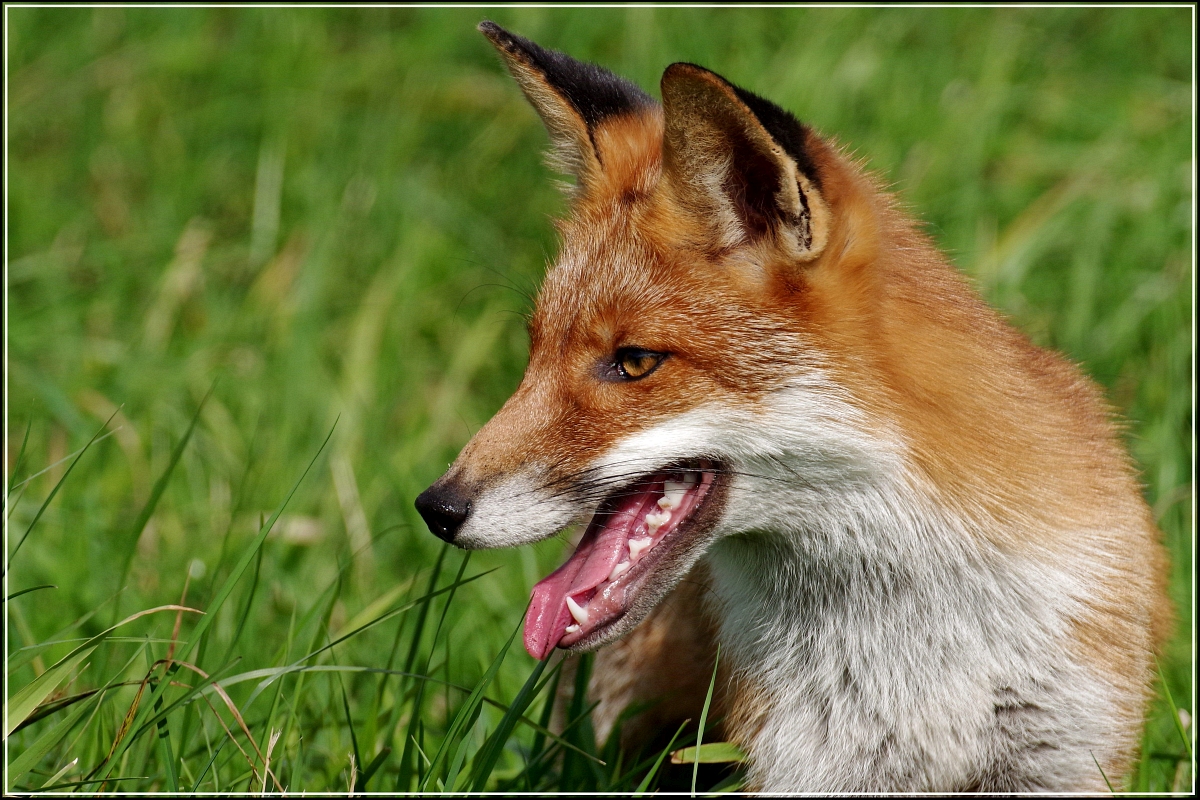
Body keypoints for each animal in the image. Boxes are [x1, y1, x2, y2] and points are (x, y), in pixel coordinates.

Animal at [415, 21, 1170, 793]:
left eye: (634, 362)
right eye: (534, 350)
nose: (436, 508)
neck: (922, 653)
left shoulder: (1067, 751)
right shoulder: (806, 762)